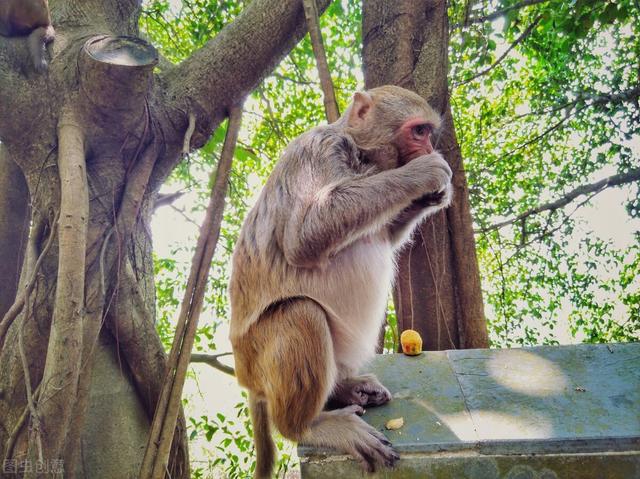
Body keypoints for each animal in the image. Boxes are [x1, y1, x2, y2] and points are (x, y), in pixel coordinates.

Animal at [229, 85, 453, 477]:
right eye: (419, 132)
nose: (428, 149)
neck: (360, 157)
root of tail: (246, 378)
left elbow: (385, 236)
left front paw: (431, 195)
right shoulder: (318, 148)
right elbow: (305, 234)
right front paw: (424, 173)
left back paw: (345, 390)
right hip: (258, 359)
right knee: (302, 313)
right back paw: (309, 426)